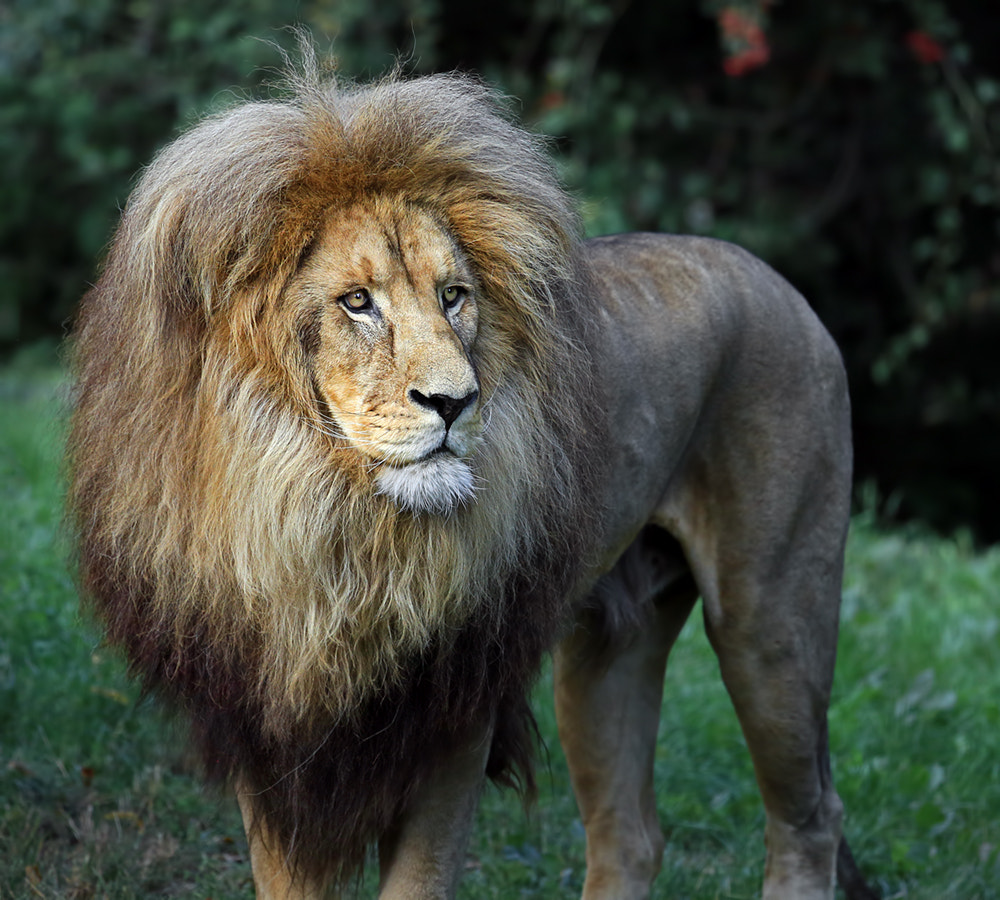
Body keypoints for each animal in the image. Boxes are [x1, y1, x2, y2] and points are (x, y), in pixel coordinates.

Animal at [67, 59, 878, 900]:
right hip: (608, 651)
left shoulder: (453, 710)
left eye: (453, 296)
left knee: (809, 819)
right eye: (357, 303)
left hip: (772, 621)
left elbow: (418, 882)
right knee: (632, 835)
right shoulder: (271, 723)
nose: (456, 401)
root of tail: (778, 281)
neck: (335, 533)